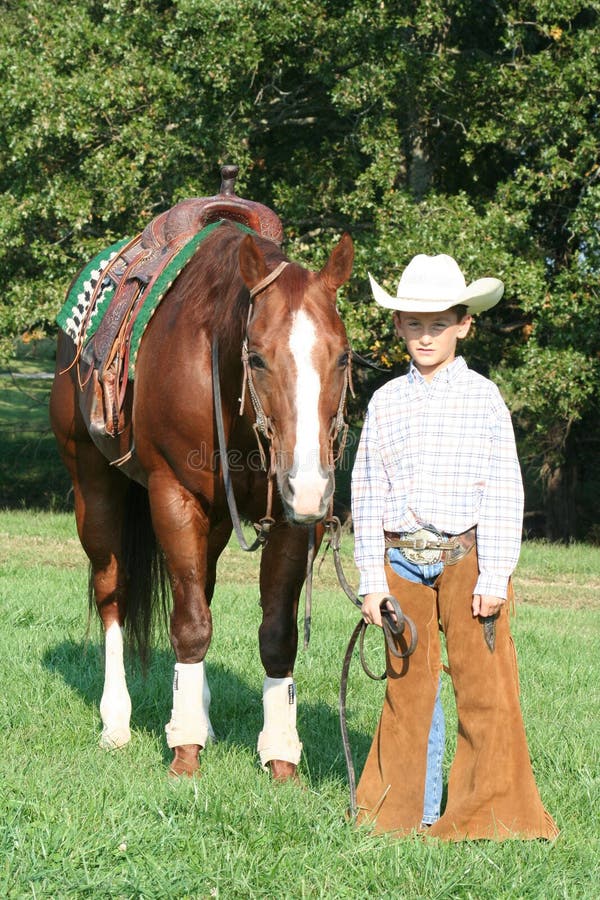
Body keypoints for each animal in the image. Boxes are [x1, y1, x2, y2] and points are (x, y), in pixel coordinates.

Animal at [50, 186, 354, 780]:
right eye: (257, 357)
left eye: (343, 355)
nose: (311, 483)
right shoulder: (173, 495)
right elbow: (190, 624)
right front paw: (184, 750)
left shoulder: (292, 517)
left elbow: (276, 634)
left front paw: (280, 754)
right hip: (94, 488)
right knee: (113, 591)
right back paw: (117, 723)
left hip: (214, 522)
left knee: (201, 588)